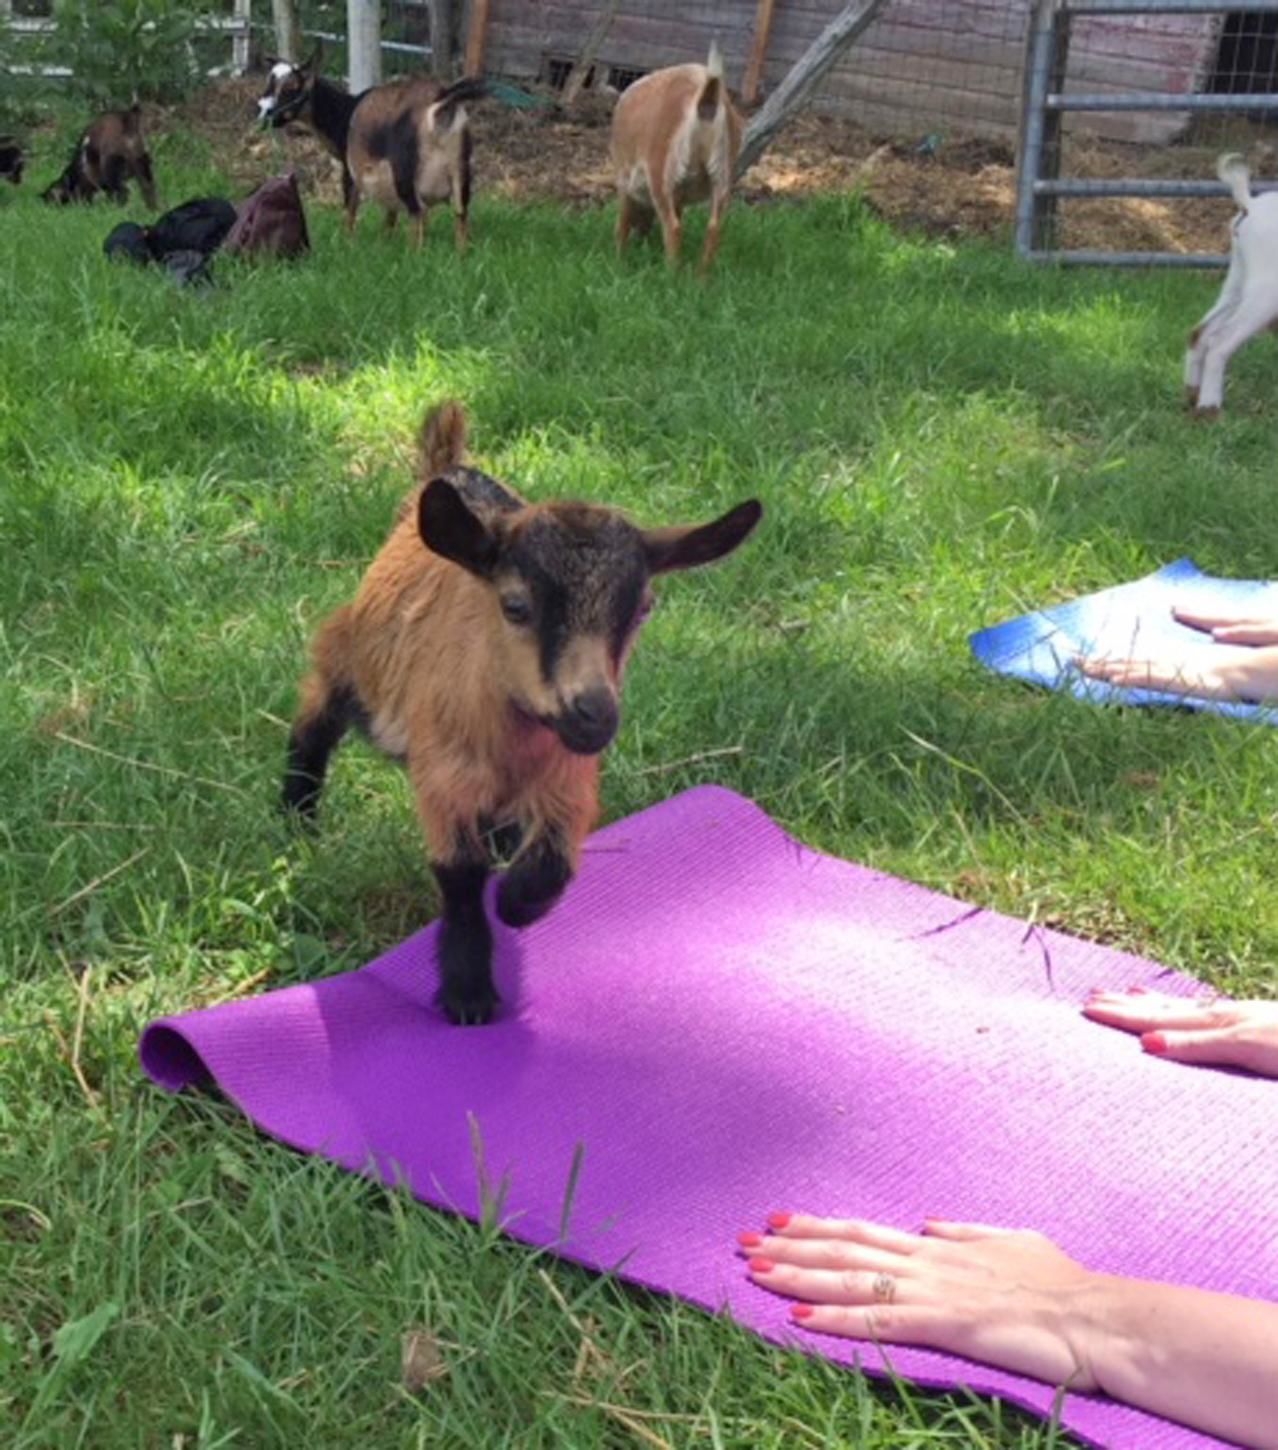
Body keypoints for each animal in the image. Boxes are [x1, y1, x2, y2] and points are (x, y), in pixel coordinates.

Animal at [256, 49, 482, 250]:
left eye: (291, 87)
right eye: (268, 84)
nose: (265, 115)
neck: (344, 112)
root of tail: (441, 102)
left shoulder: (349, 166)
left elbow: (350, 208)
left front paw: (347, 242)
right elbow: (390, 214)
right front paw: (385, 241)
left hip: (404, 171)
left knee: (418, 211)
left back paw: (414, 256)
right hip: (459, 167)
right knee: (460, 210)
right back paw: (461, 255)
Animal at [282, 401, 762, 1025]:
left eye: (643, 609)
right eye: (515, 606)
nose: (593, 715)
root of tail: (449, 471)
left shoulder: (569, 777)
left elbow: (554, 863)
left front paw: (515, 902)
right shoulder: (443, 776)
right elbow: (460, 874)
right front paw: (468, 992)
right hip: (347, 657)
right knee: (313, 718)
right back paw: (296, 813)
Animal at [610, 43, 743, 271]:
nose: (641, 236)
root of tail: (706, 95)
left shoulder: (625, 183)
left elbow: (622, 224)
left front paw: (619, 260)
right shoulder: (678, 195)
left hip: (661, 175)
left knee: (672, 227)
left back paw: (671, 273)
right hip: (722, 178)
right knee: (713, 228)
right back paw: (701, 276)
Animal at [1184, 153, 1278, 416]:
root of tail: (1251, 206)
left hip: (1238, 279)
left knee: (1201, 331)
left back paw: (1191, 396)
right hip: (1266, 292)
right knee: (1220, 340)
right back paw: (1209, 409)